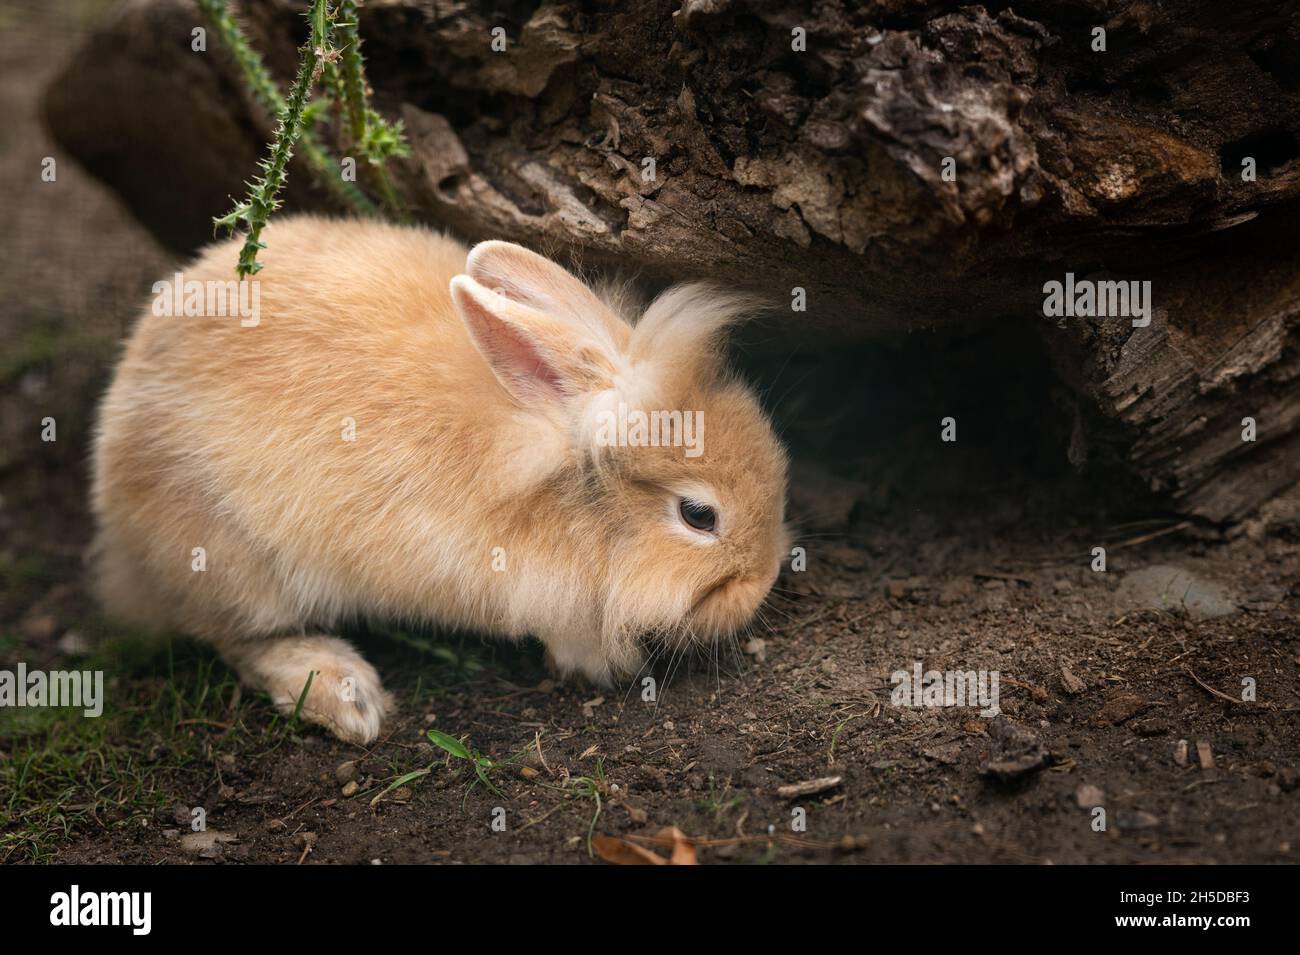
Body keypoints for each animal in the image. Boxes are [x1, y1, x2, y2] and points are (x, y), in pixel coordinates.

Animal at [90, 216, 790, 743]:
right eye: (699, 516)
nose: (763, 580)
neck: (561, 488)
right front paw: (603, 664)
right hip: (234, 563)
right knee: (236, 637)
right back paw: (344, 694)